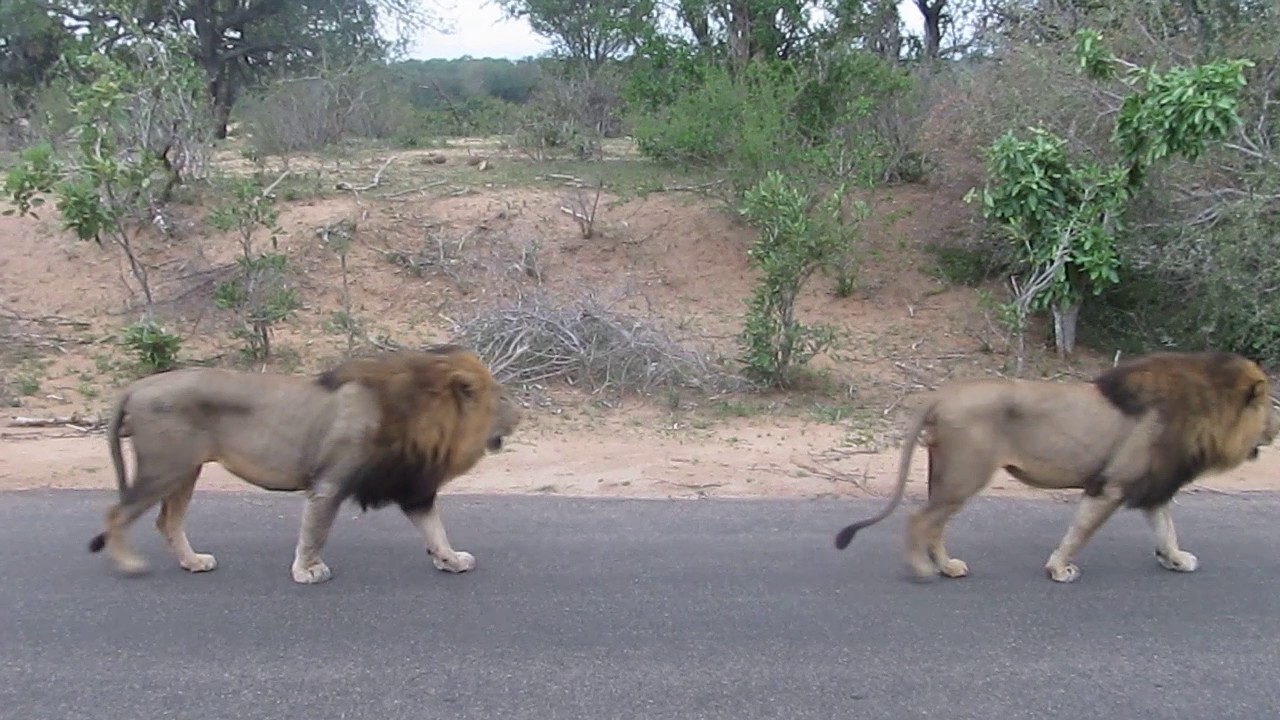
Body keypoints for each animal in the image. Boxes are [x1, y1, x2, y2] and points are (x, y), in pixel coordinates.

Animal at [87, 344, 522, 585]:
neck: (424, 415)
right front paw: (307, 571)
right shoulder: (331, 481)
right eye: (501, 397)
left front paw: (450, 560)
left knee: (167, 521)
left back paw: (193, 563)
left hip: (184, 469)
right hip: (164, 467)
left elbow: (436, 530)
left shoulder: (412, 486)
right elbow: (316, 531)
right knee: (116, 513)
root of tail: (137, 386)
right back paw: (129, 564)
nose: (521, 415)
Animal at [832, 350, 1280, 583]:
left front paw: (1176, 560)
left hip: (946, 474)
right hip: (965, 474)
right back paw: (923, 569)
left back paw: (946, 567)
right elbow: (1080, 531)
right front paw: (1059, 569)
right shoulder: (1112, 484)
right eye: (1268, 407)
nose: (1276, 430)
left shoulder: (1153, 486)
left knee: (934, 523)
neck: (1208, 410)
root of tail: (942, 395)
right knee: (919, 519)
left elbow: (1166, 529)